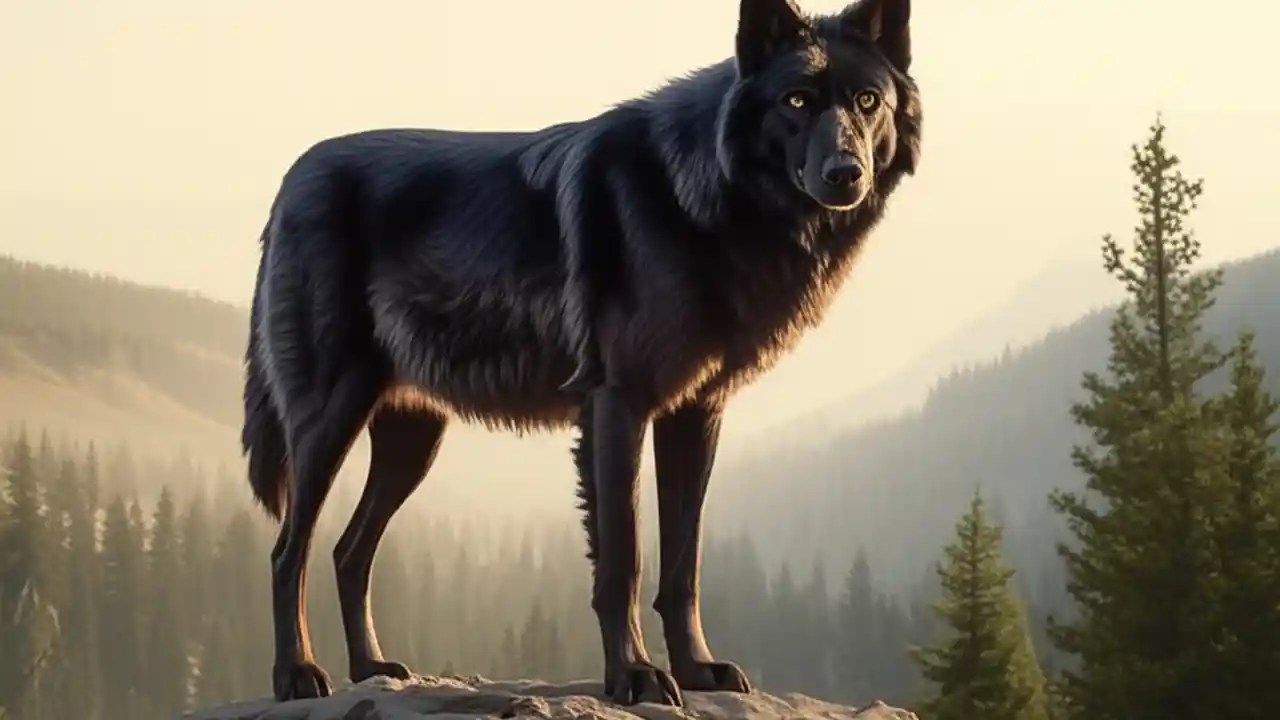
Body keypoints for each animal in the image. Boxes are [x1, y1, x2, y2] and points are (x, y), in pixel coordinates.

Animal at [241, 0, 921, 707]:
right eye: (797, 100)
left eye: (867, 100)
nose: (846, 173)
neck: (699, 197)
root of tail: (293, 179)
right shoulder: (617, 406)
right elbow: (624, 556)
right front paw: (635, 675)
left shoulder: (696, 413)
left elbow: (684, 563)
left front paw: (697, 670)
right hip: (330, 420)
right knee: (288, 551)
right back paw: (298, 675)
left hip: (413, 442)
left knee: (349, 551)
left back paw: (371, 668)